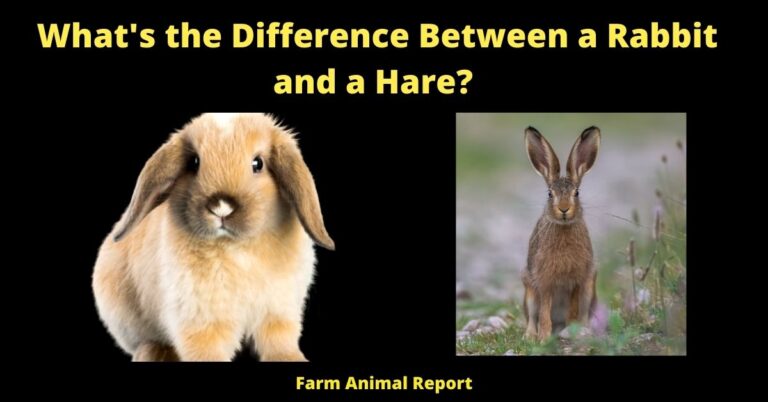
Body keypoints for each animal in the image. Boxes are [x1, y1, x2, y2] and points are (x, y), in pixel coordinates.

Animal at [92, 113, 334, 361]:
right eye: (194, 162)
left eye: (258, 163)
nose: (222, 207)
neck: (237, 247)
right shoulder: (201, 320)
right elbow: (206, 349)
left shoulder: (278, 311)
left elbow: (278, 341)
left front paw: (291, 358)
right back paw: (156, 353)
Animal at [522, 126, 600, 341]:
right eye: (550, 194)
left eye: (577, 193)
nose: (564, 209)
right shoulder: (544, 281)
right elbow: (544, 311)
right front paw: (543, 338)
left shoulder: (577, 280)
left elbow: (572, 309)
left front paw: (571, 330)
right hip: (529, 291)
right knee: (532, 316)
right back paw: (530, 335)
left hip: (589, 289)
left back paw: (584, 330)